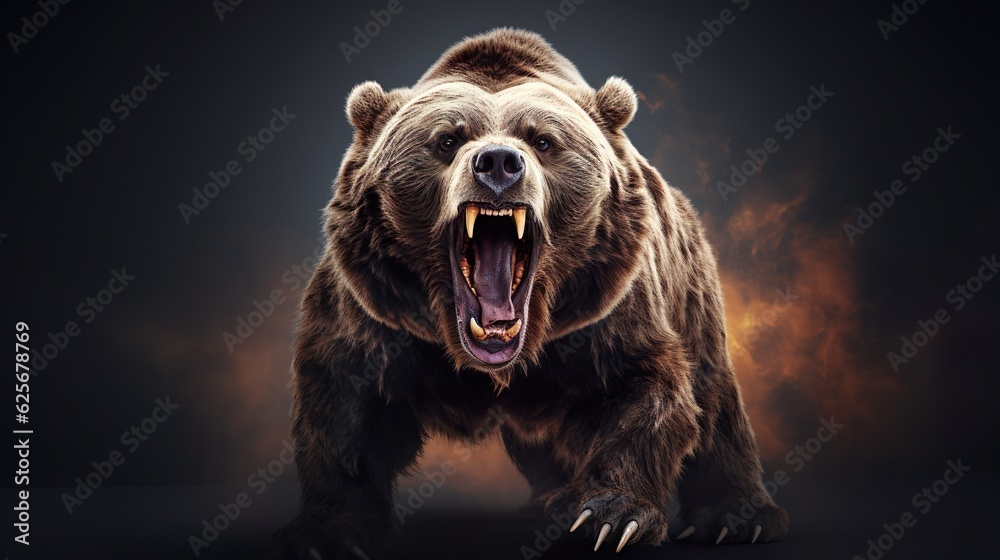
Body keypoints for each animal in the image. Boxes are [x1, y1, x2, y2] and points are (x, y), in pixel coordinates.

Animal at [271, 28, 788, 559]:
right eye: (447, 139)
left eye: (543, 140)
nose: (498, 162)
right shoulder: (376, 313)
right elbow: (343, 404)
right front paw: (323, 531)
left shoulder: (607, 310)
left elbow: (646, 391)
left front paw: (609, 516)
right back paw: (549, 500)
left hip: (691, 286)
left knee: (714, 396)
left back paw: (735, 518)